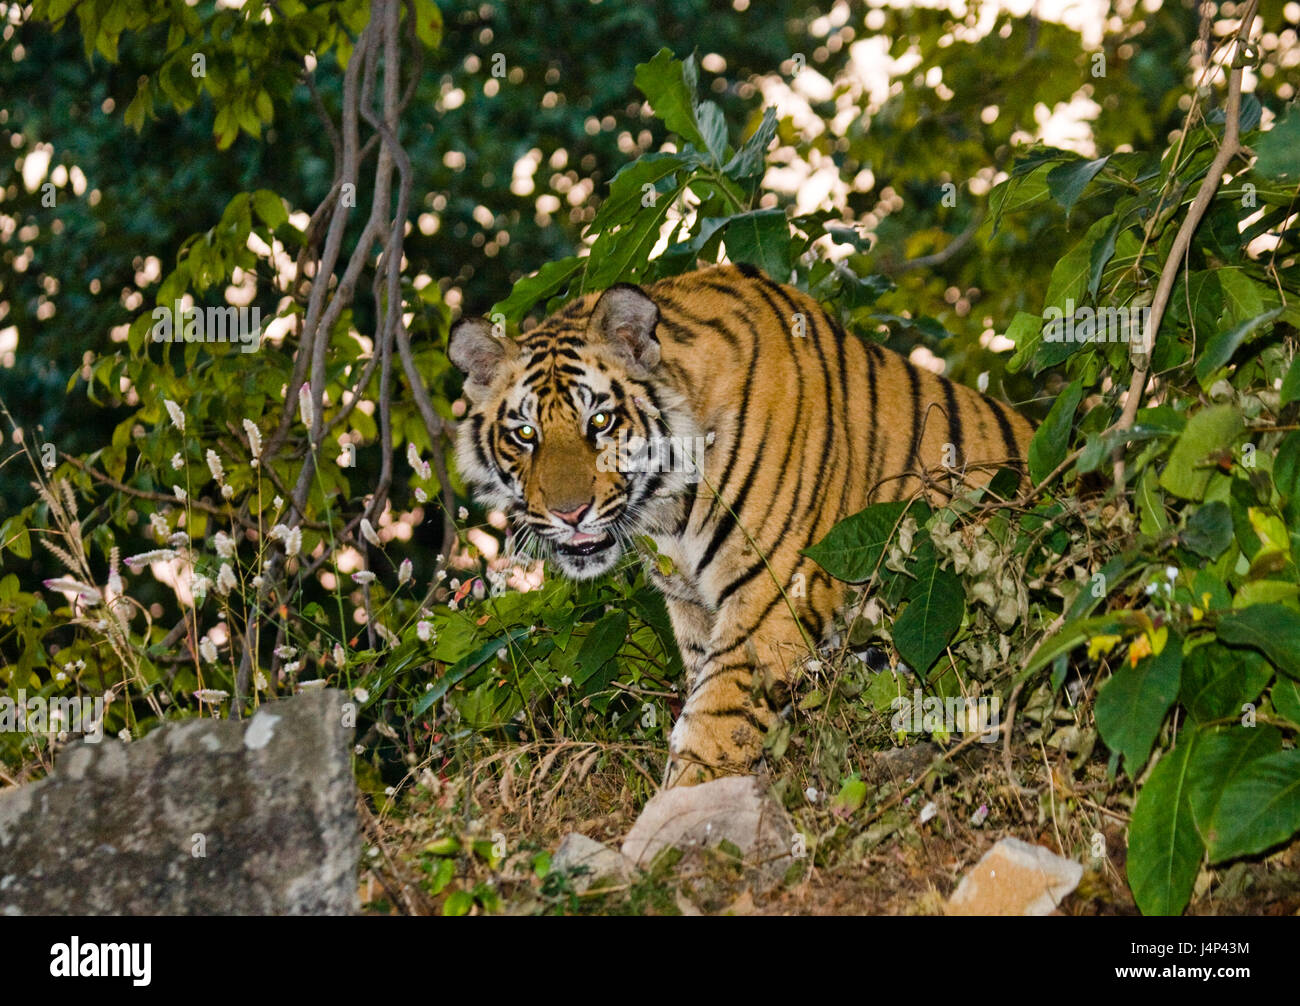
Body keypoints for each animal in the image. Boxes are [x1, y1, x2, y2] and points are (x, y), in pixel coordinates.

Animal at [449, 263, 1034, 786]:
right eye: (525, 433)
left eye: (601, 421)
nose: (569, 514)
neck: (669, 507)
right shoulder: (690, 606)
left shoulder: (774, 594)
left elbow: (715, 720)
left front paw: (678, 813)